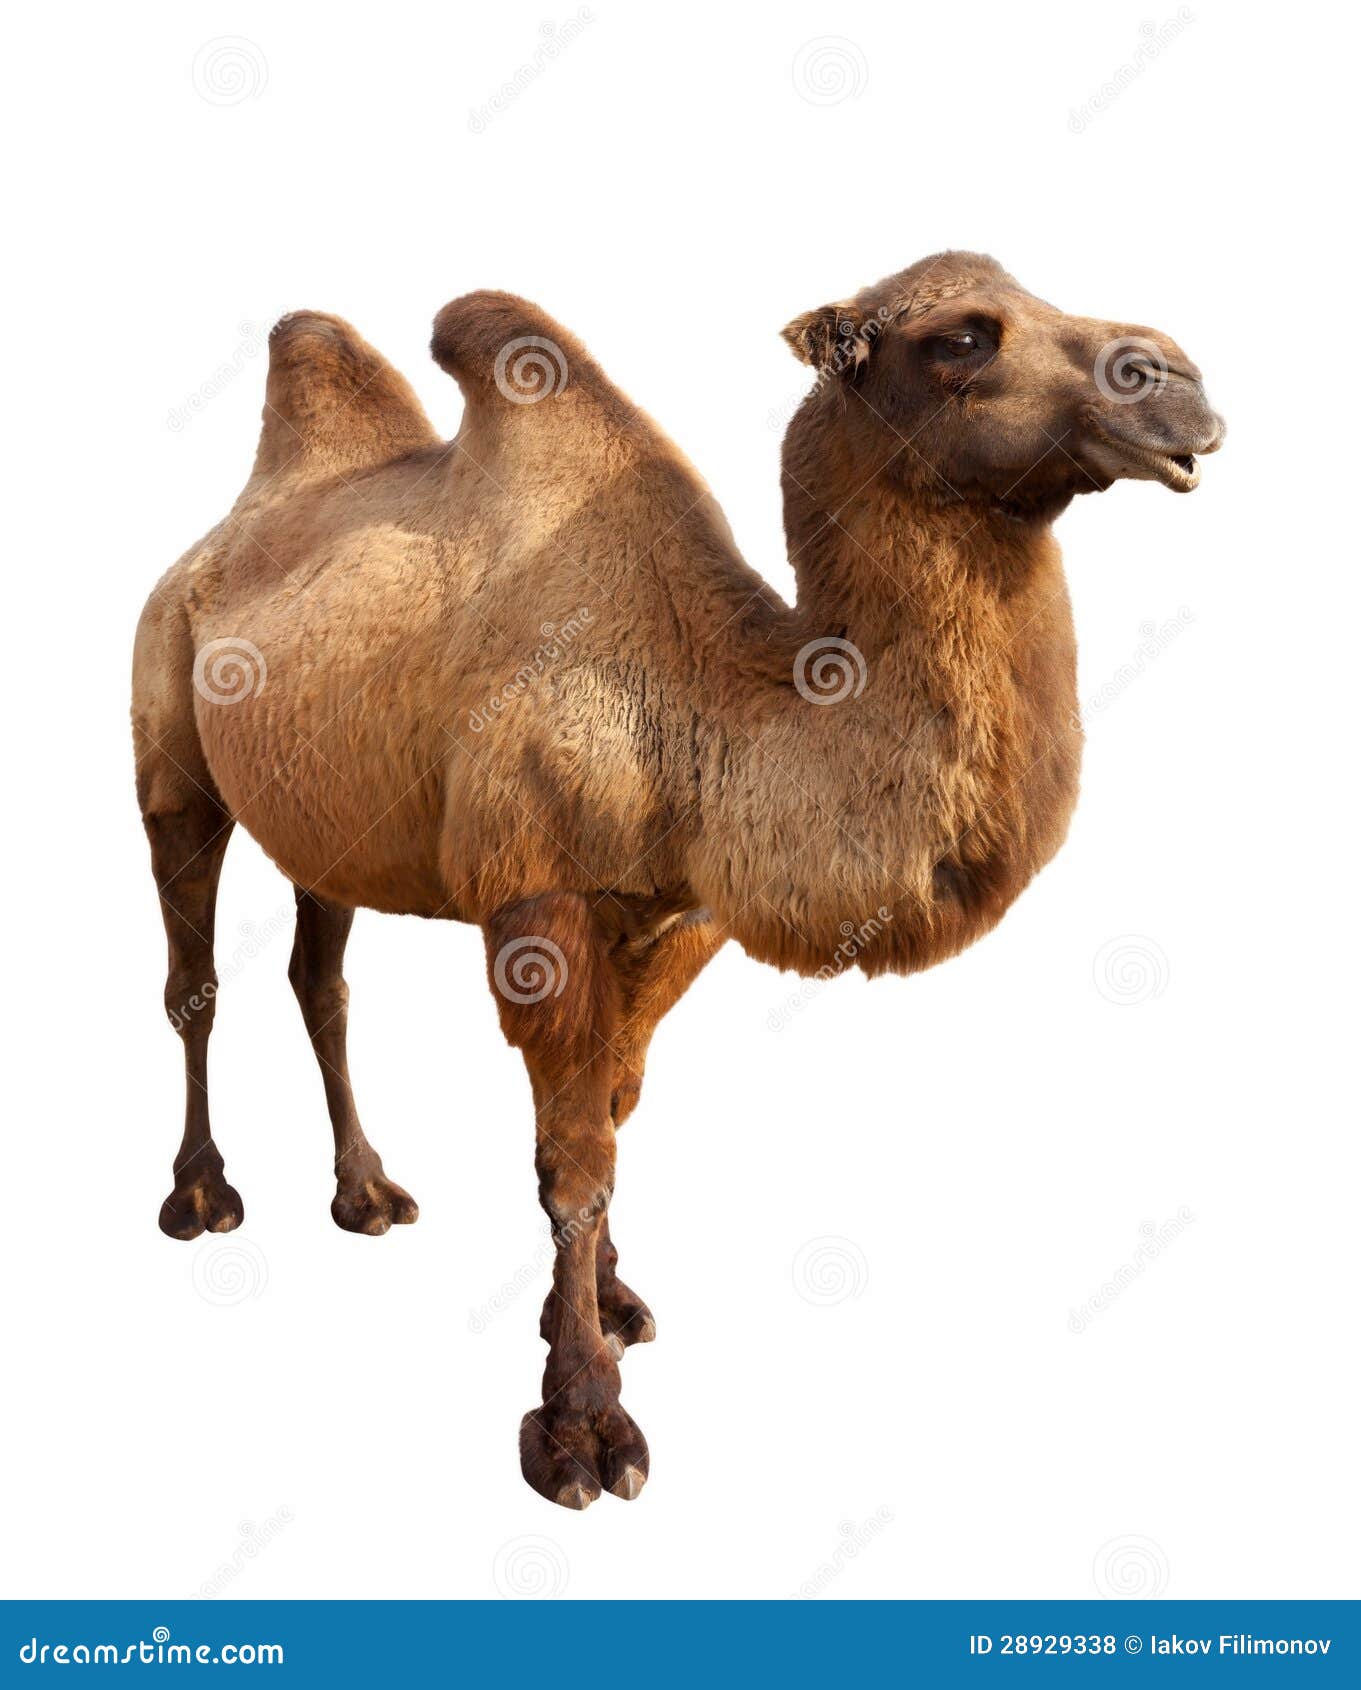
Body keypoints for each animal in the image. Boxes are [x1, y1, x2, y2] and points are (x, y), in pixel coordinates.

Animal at [132, 252, 1222, 1508]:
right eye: (959, 337)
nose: (1176, 381)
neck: (710, 694)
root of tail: (210, 546)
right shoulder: (538, 903)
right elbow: (570, 1161)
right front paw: (579, 1426)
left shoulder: (679, 913)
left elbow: (613, 1112)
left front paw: (609, 1304)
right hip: (168, 746)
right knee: (193, 979)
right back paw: (200, 1198)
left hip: (325, 810)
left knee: (320, 978)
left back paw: (366, 1195)